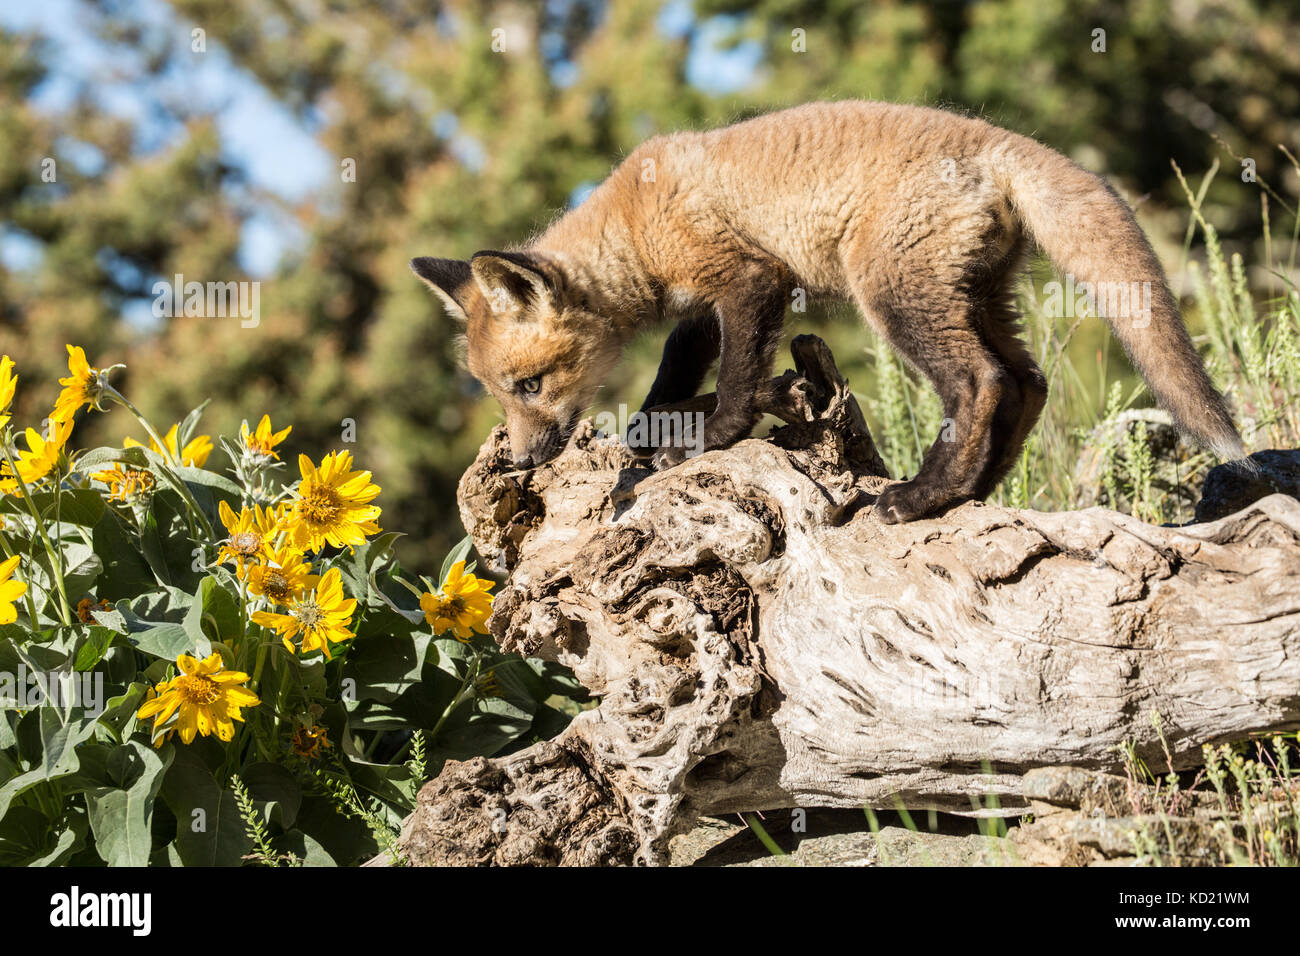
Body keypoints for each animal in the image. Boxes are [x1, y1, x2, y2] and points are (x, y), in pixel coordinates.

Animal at [412, 101, 1243, 523]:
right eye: (499, 395)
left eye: (529, 386)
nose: (522, 461)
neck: (636, 223)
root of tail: (999, 138)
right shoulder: (704, 304)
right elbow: (675, 374)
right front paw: (653, 430)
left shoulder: (749, 279)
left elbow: (738, 385)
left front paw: (706, 439)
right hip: (973, 296)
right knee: (1029, 382)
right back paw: (973, 492)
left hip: (896, 299)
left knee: (982, 384)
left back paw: (920, 497)